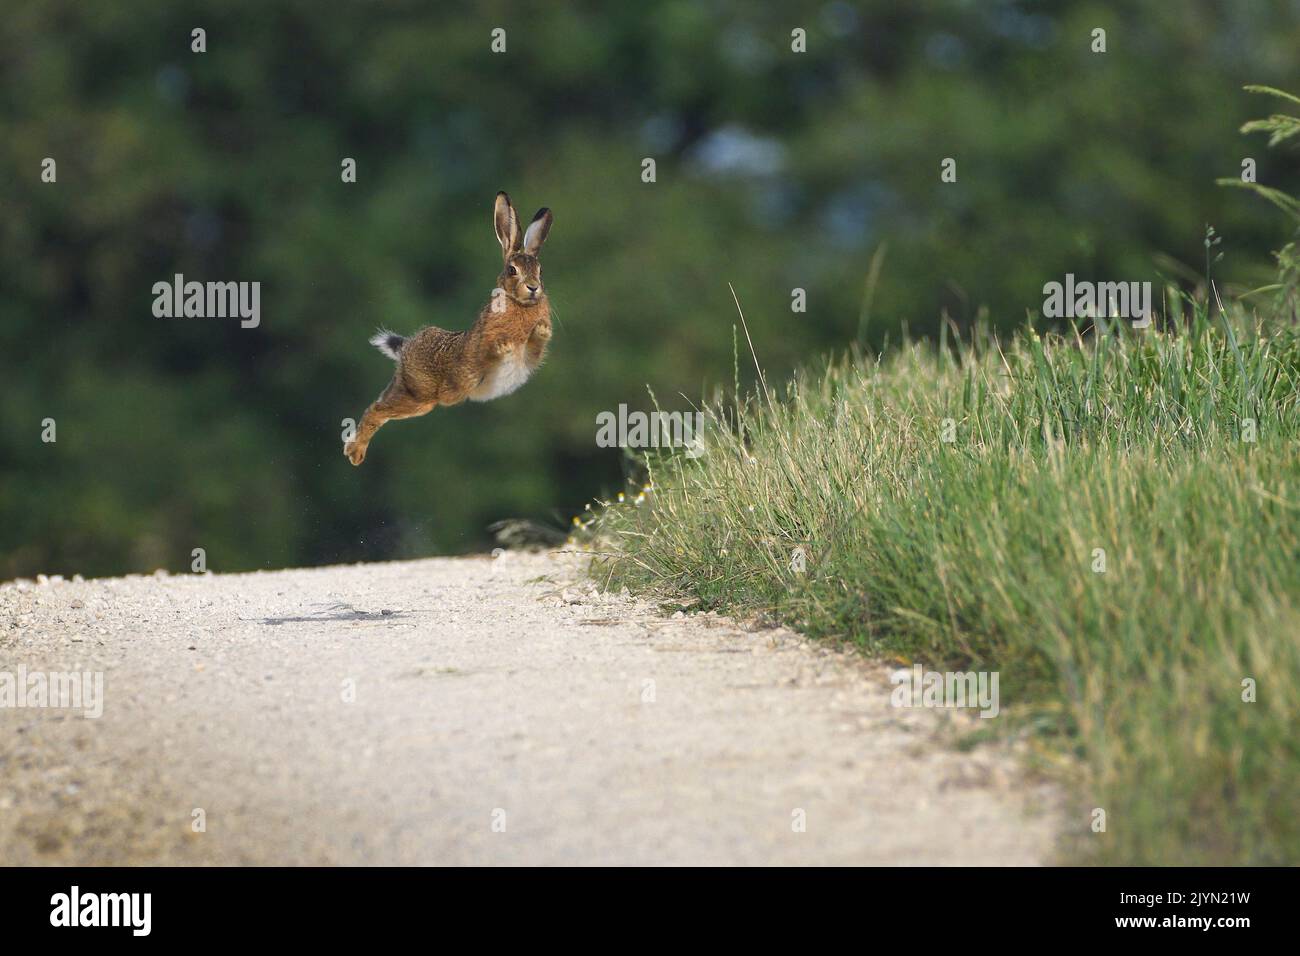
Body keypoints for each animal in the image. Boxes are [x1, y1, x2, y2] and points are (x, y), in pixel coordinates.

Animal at [344, 192, 553, 466]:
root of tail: (407, 346)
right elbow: (493, 350)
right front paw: (504, 344)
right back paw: (355, 452)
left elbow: (534, 347)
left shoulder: (530, 358)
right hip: (419, 397)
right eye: (512, 270)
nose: (533, 288)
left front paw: (542, 330)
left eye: (540, 270)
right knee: (376, 409)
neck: (518, 303)